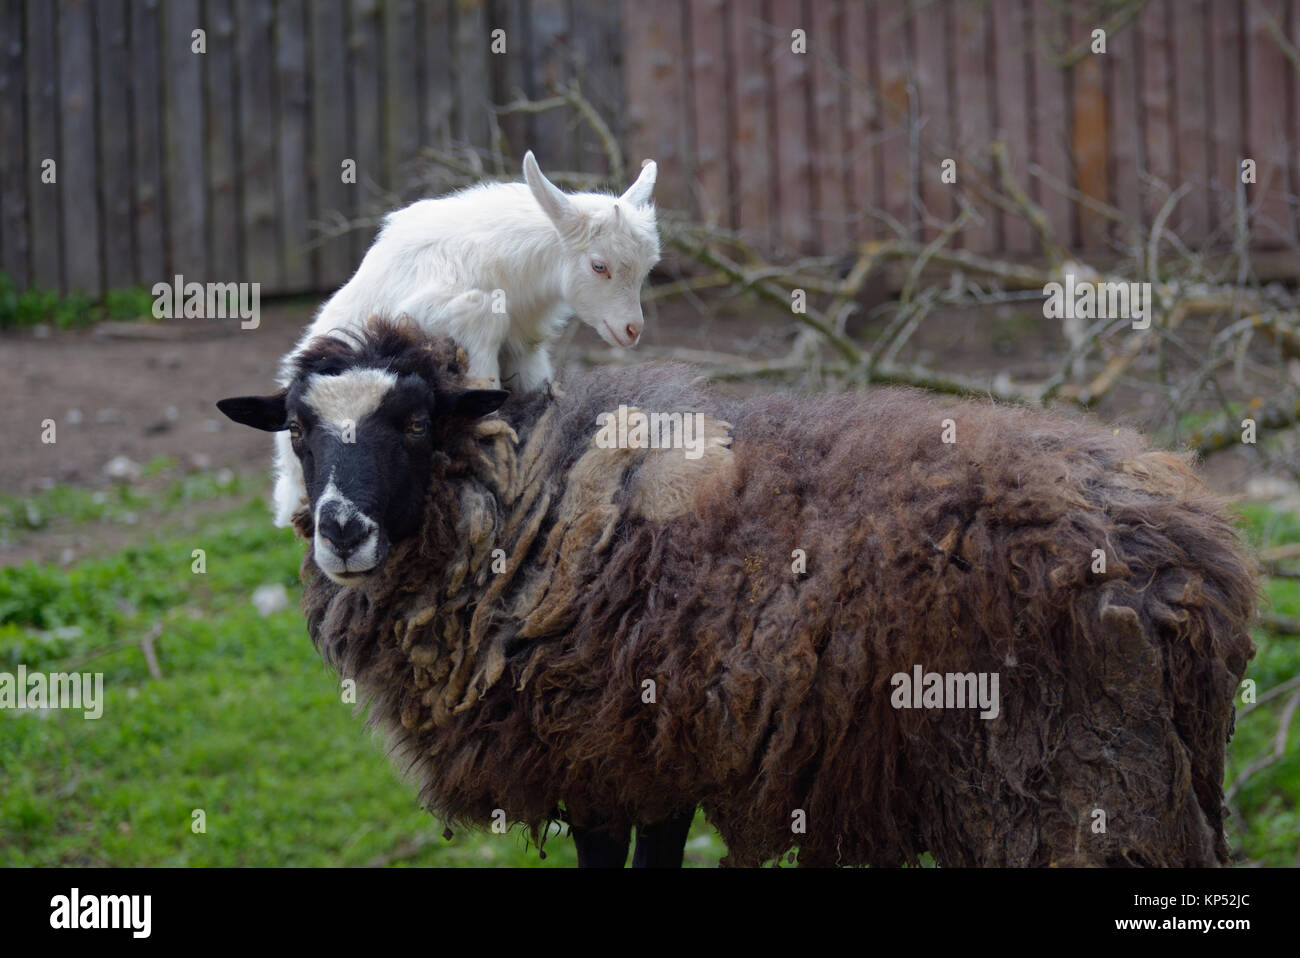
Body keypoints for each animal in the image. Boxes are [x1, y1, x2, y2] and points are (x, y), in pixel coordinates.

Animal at [218, 317, 1253, 863]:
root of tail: (1198, 554)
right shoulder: (662, 760)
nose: (340, 530)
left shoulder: (595, 765)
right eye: (299, 430)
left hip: (1077, 781)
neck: (530, 515)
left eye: (416, 420)